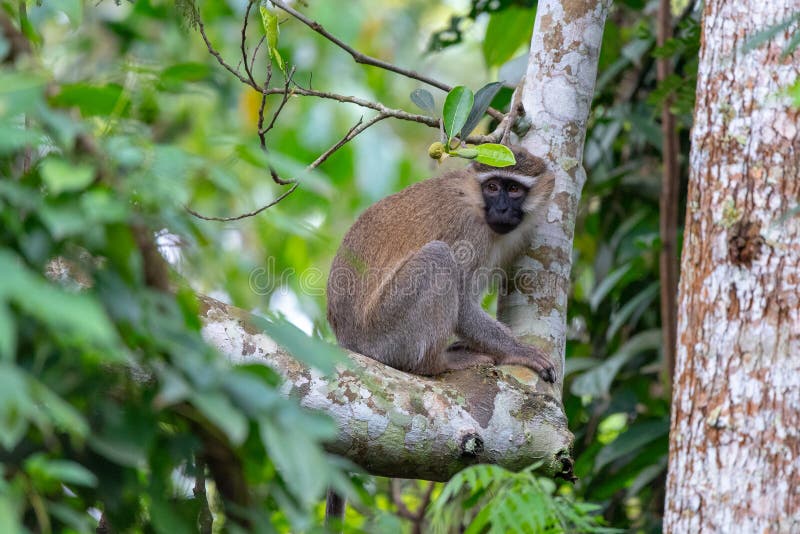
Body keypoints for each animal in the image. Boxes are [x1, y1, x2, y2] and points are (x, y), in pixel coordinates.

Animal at [326, 146, 557, 383]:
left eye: (513, 189)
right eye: (492, 187)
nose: (501, 209)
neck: (474, 201)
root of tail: (349, 341)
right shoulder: (469, 231)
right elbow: (463, 306)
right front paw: (518, 351)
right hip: (385, 333)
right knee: (439, 256)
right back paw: (435, 364)